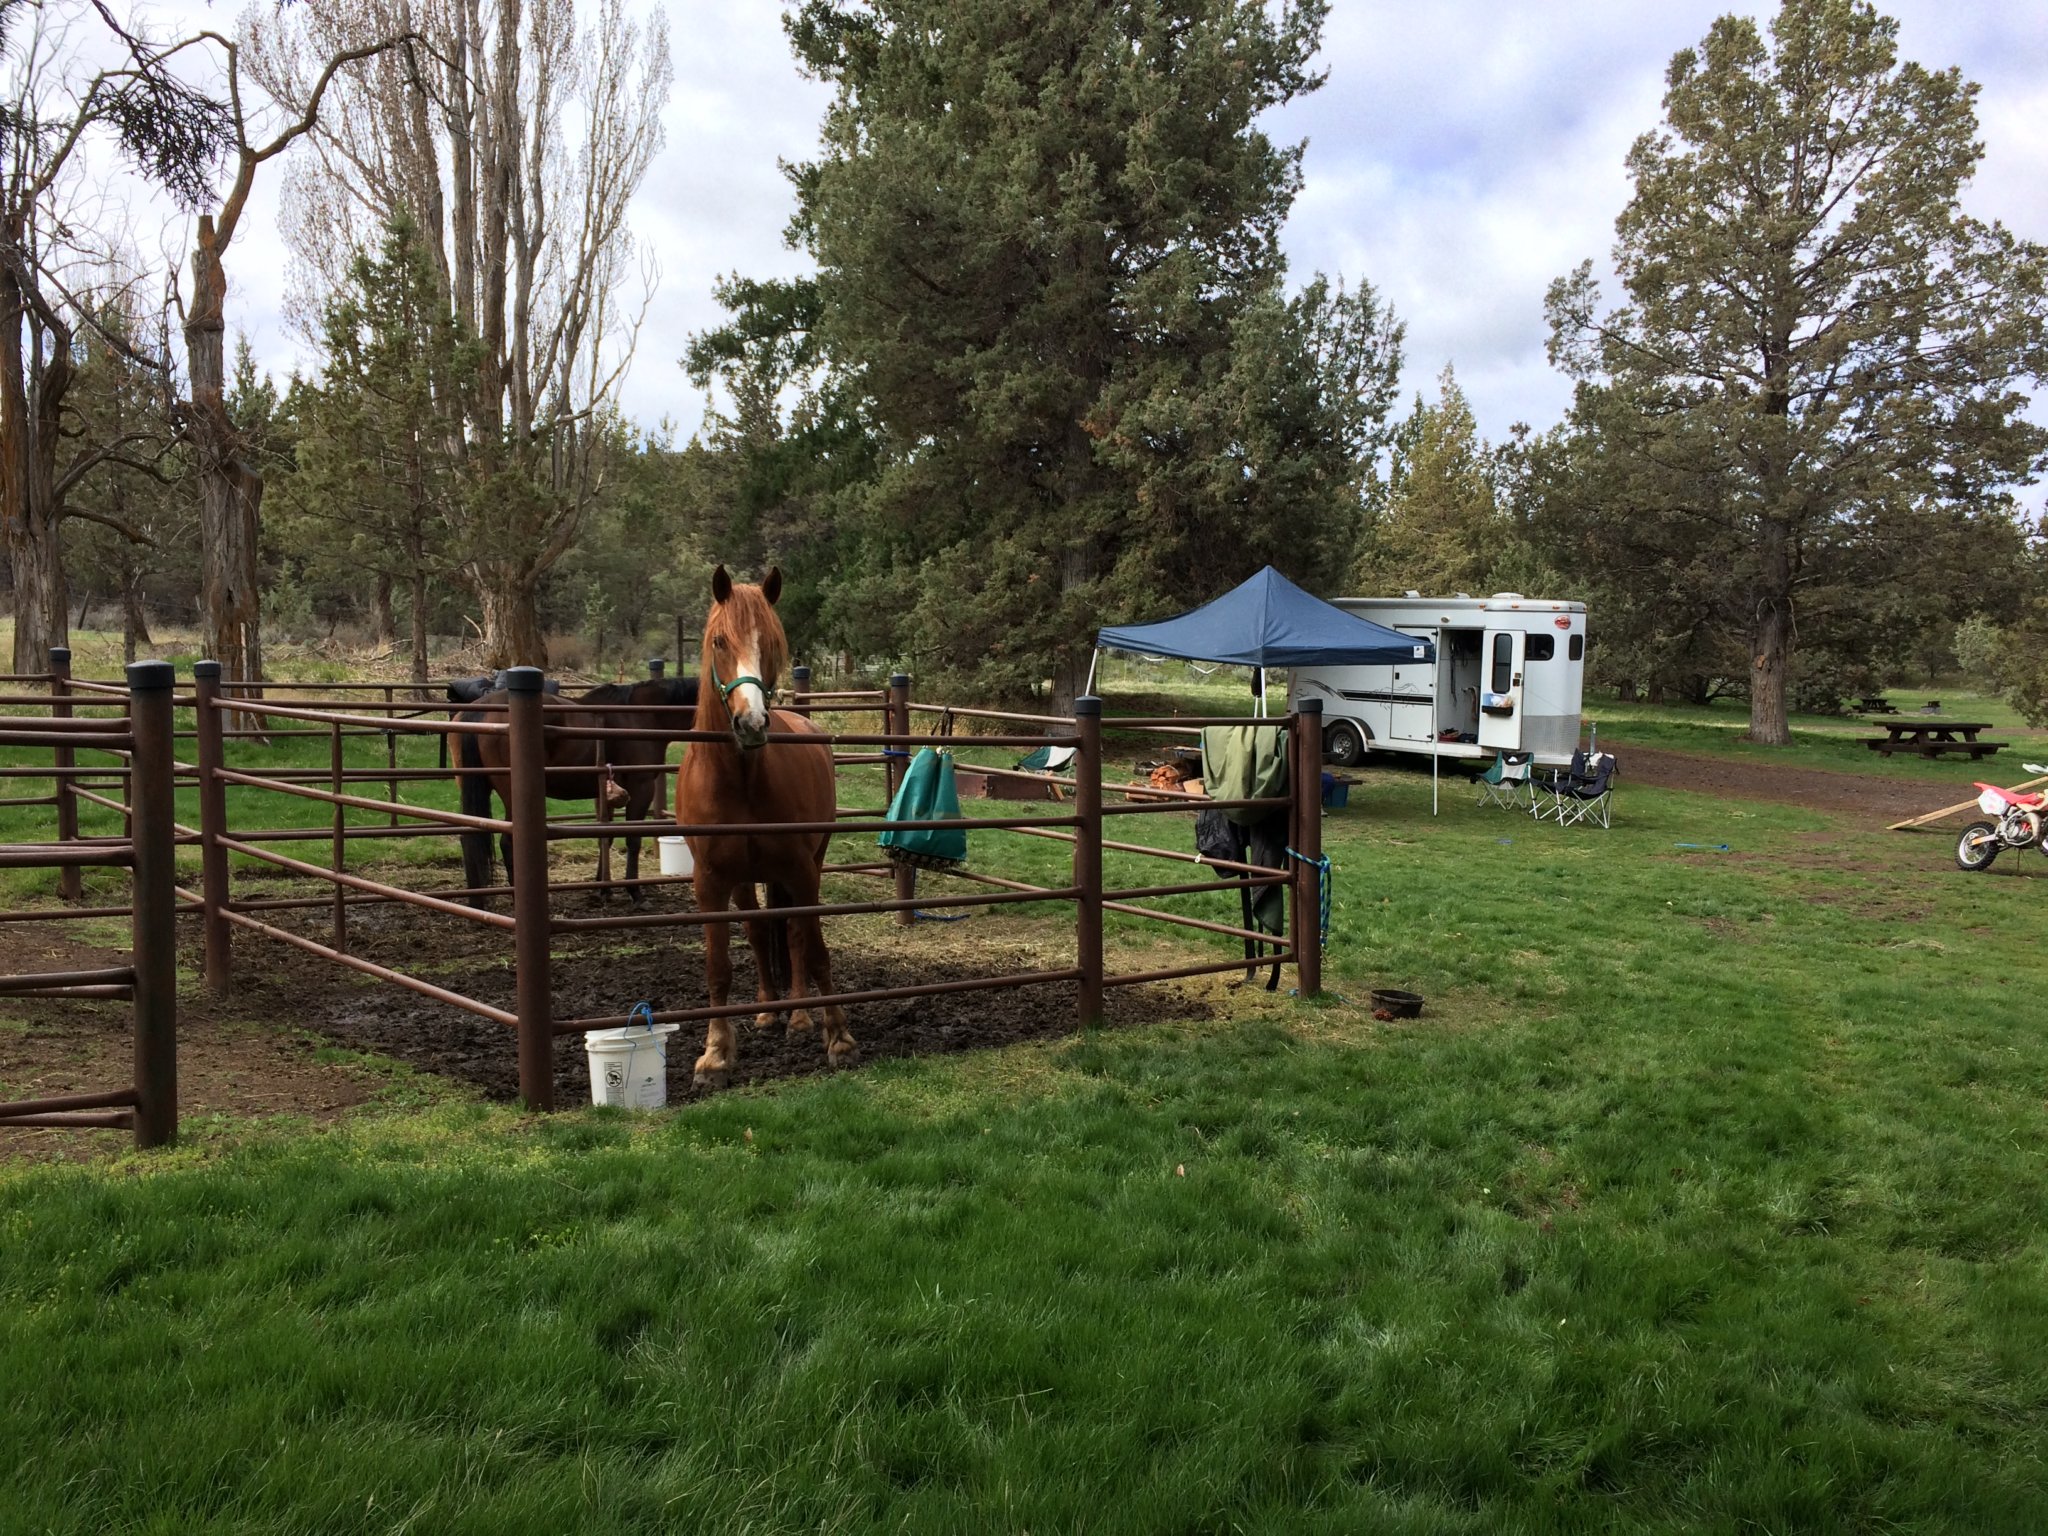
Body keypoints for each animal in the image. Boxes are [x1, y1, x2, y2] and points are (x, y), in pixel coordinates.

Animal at [449, 674, 698, 907]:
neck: (641, 715)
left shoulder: (604, 792)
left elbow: (605, 836)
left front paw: (602, 890)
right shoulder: (641, 788)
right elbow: (632, 840)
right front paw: (635, 893)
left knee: (470, 838)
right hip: (510, 796)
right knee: (507, 843)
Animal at [677, 564, 853, 1090]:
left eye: (772, 642)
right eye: (719, 641)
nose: (751, 722)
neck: (742, 782)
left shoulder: (802, 871)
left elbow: (813, 949)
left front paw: (838, 1038)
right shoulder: (710, 883)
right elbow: (718, 967)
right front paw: (715, 1055)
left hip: (802, 866)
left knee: (791, 933)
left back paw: (796, 1016)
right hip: (746, 880)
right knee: (759, 933)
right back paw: (769, 1011)